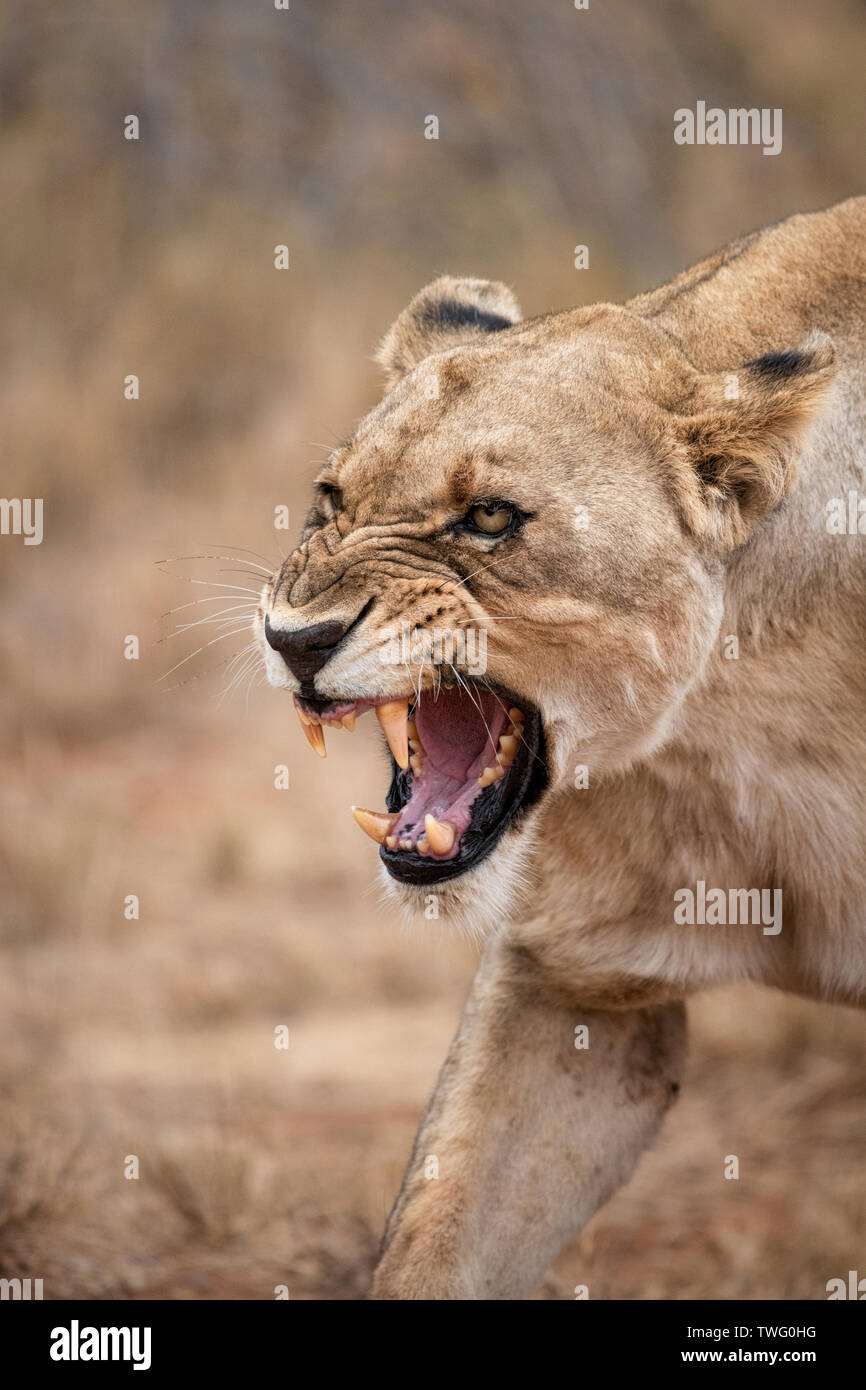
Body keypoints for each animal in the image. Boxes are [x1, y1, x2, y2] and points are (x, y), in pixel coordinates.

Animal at [256, 196, 866, 1299]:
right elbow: (438, 1230)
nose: (295, 639)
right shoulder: (568, 983)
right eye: (330, 499)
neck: (734, 708)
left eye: (488, 517)